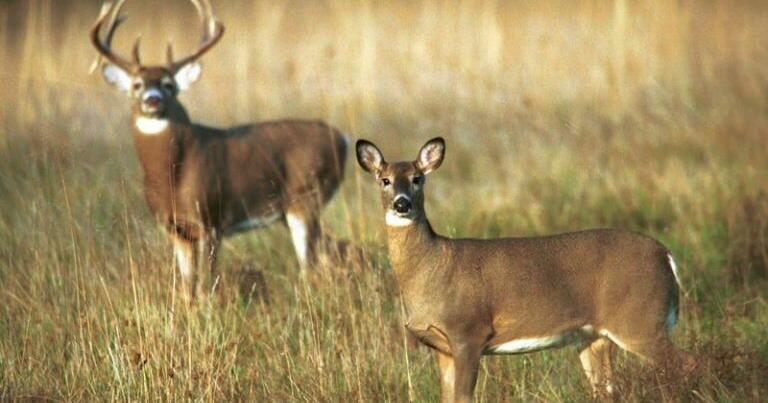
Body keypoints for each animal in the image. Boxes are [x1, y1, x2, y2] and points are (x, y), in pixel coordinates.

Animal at [90, 0, 349, 298]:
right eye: (137, 85)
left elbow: (205, 285)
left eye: (169, 85)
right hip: (293, 209)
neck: (171, 177)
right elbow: (186, 288)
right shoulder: (175, 228)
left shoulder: (211, 218)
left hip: (304, 197)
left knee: (313, 266)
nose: (152, 100)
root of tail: (342, 139)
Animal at [356, 137, 696, 402]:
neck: (432, 265)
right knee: (607, 389)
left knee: (688, 362)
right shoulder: (442, 347)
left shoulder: (469, 331)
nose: (402, 204)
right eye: (385, 180)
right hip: (596, 336)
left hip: (639, 320)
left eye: (417, 178)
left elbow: (464, 397)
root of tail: (665, 255)